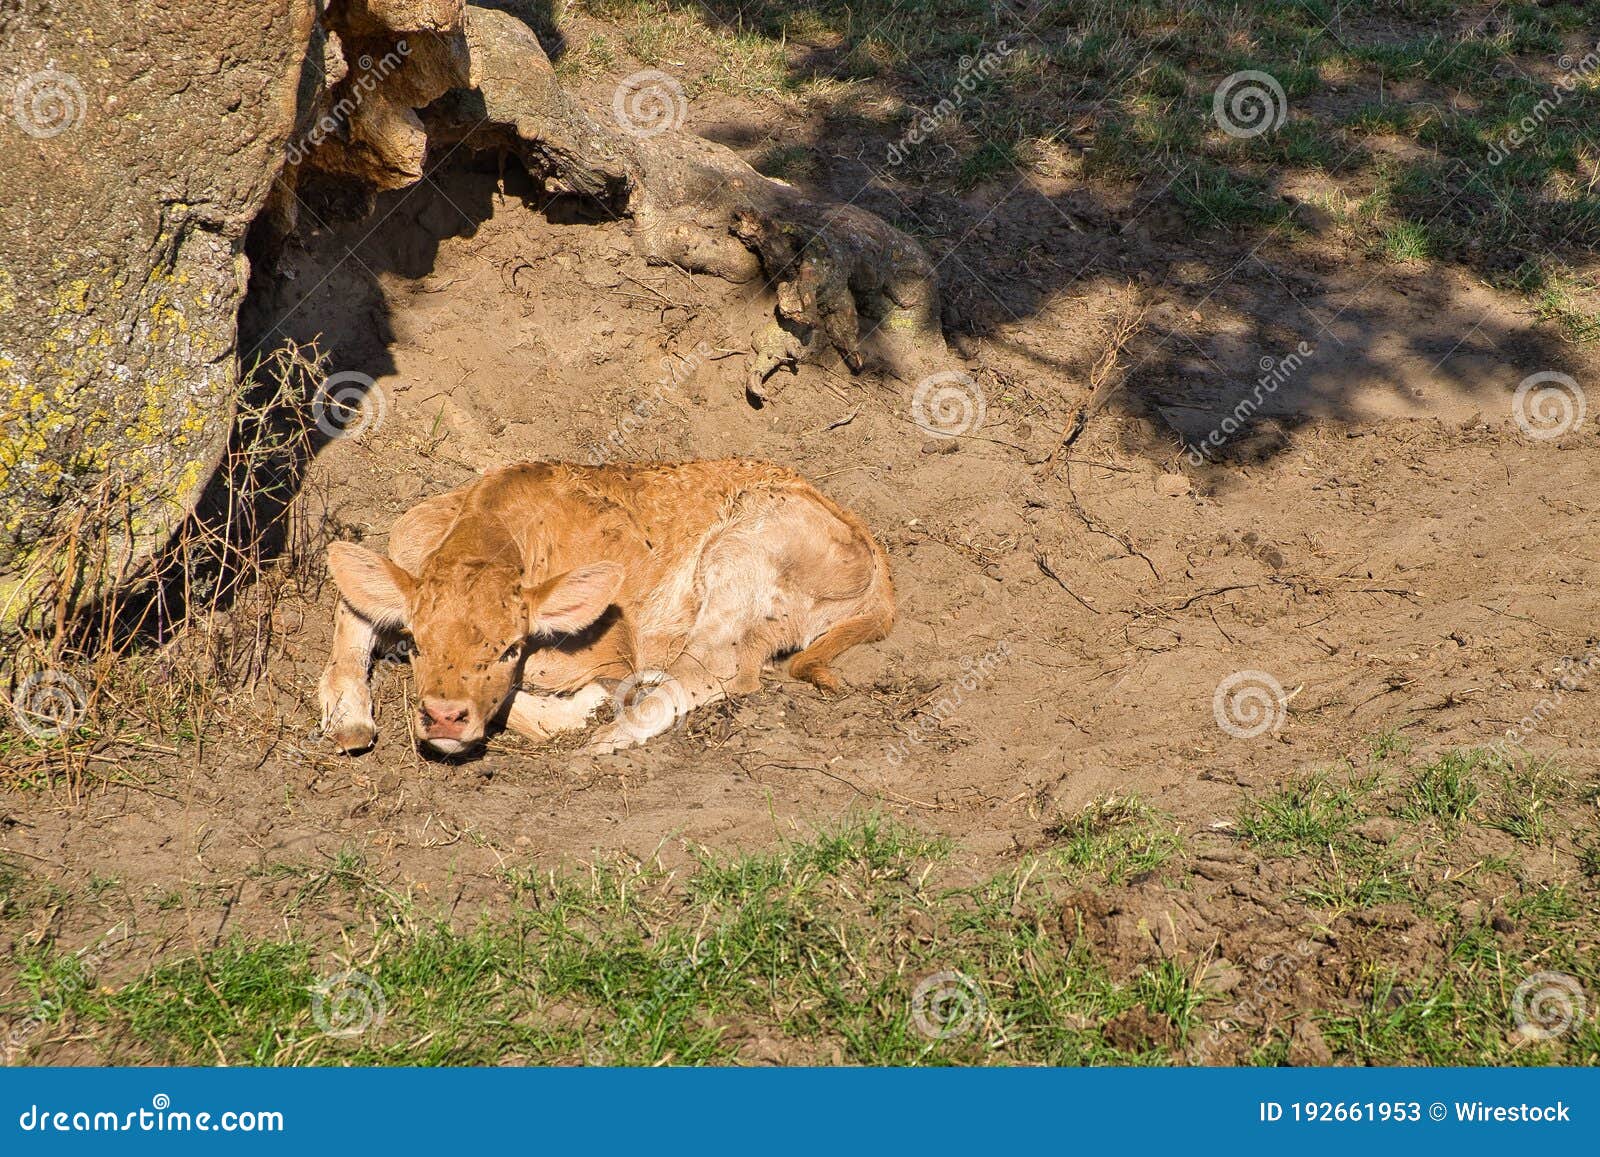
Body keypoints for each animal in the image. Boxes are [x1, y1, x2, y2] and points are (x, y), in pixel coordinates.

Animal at [317, 459, 894, 756]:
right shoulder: (409, 538)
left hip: (742, 547)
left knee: (717, 667)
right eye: (417, 645)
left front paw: (589, 706)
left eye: (509, 650)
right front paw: (348, 719)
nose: (443, 717)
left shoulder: (612, 649)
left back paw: (611, 734)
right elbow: (351, 617)